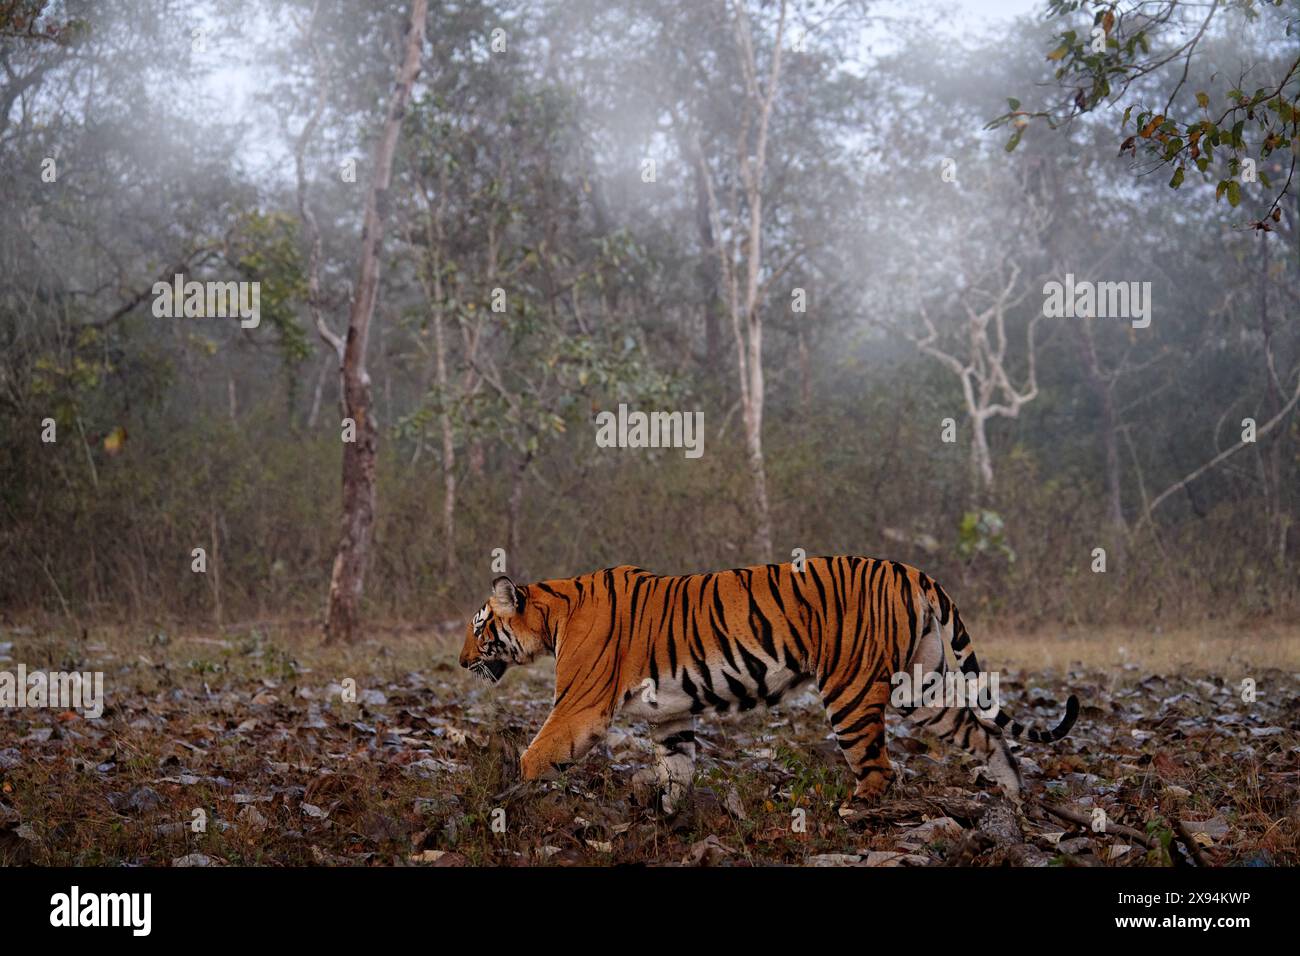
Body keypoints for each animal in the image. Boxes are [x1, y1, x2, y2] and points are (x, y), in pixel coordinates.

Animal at [458, 557, 1079, 815]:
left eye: (480, 628)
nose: (461, 661)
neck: (554, 614)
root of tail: (909, 569)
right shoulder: (670, 715)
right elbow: (676, 767)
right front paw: (665, 816)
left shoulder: (579, 708)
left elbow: (536, 755)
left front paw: (506, 803)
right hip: (918, 687)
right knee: (982, 731)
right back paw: (1013, 793)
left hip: (851, 692)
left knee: (880, 767)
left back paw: (854, 812)